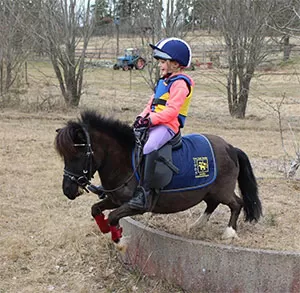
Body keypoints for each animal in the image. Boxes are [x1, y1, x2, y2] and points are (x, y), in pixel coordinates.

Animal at [55, 109, 262, 244]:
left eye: (78, 155)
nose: (67, 190)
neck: (125, 159)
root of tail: (231, 147)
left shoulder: (136, 206)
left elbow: (113, 216)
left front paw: (119, 239)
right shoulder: (115, 199)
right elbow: (95, 209)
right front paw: (106, 228)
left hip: (222, 190)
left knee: (236, 204)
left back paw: (229, 232)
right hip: (209, 190)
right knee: (213, 204)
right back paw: (197, 225)